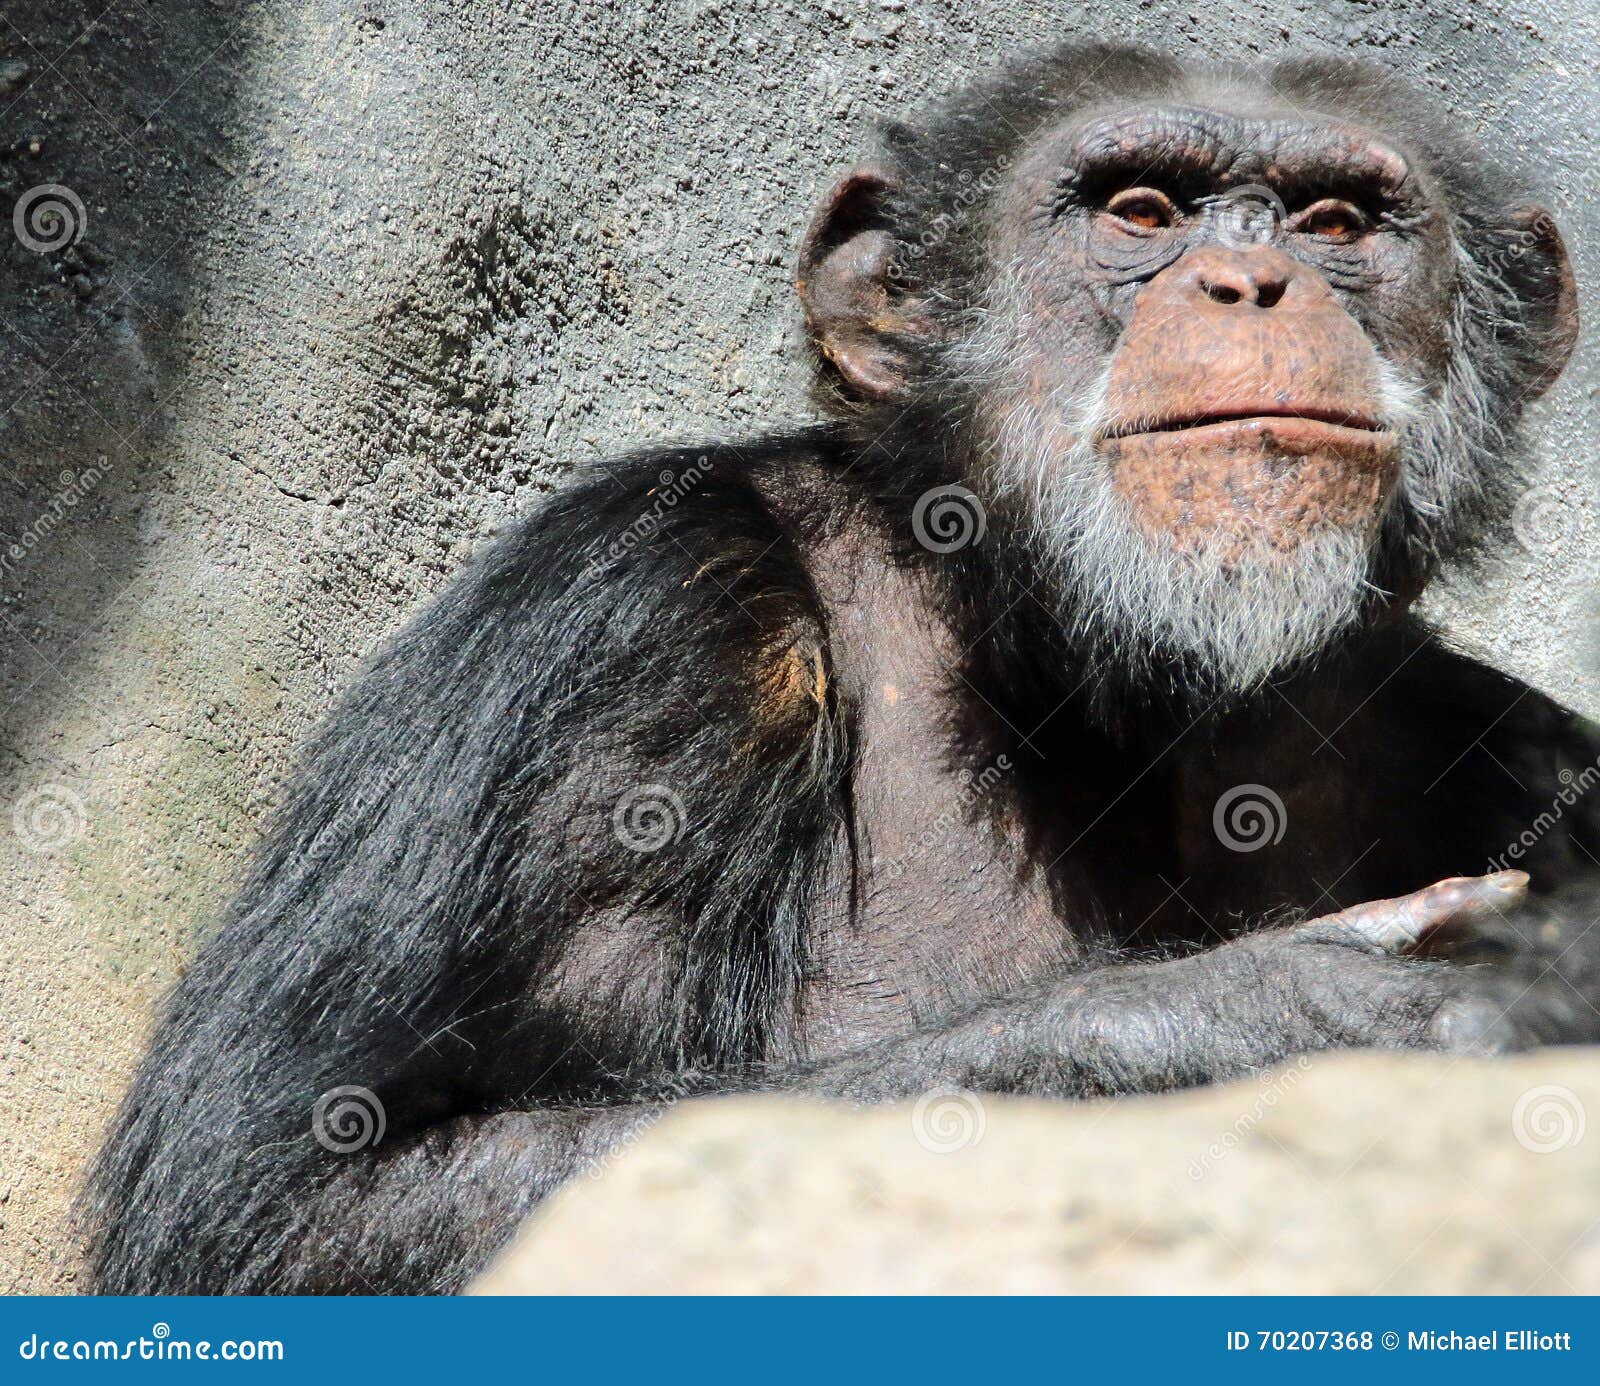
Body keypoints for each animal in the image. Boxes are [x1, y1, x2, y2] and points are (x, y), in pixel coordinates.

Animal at [84, 43, 1600, 1295]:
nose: (1251, 282)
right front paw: (1258, 1019)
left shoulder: (1547, 765)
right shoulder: (620, 622)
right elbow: (293, 1188)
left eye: (1338, 225)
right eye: (1140, 212)